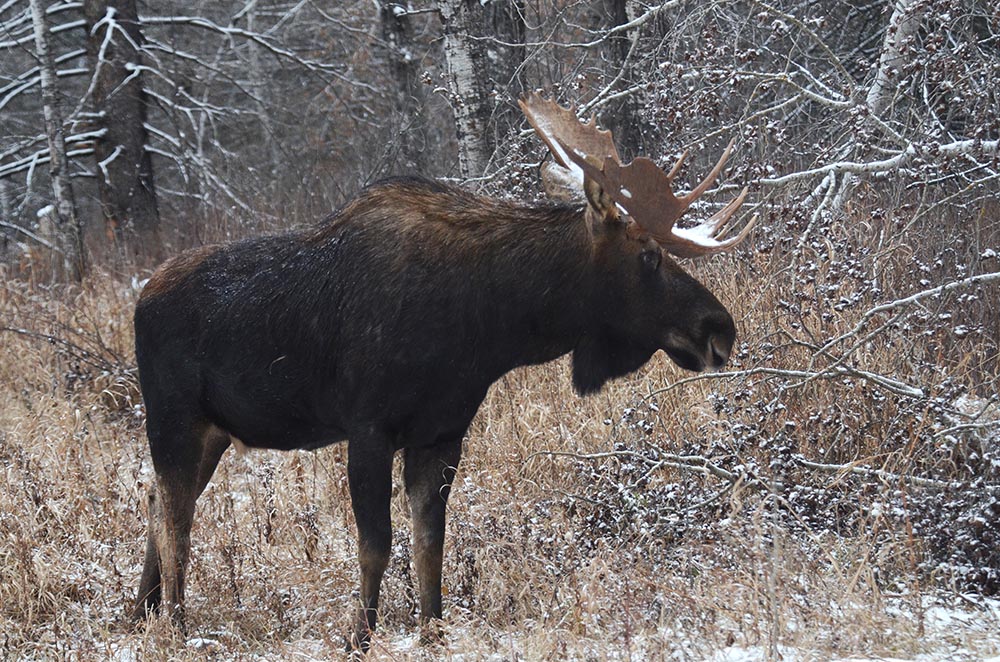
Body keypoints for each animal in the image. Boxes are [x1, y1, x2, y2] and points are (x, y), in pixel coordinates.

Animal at [131, 94, 755, 651]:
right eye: (648, 253)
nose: (719, 327)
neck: (491, 326)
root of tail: (140, 297)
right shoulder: (369, 427)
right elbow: (377, 544)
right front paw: (359, 636)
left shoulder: (442, 431)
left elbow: (430, 542)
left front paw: (432, 629)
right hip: (173, 418)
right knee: (176, 519)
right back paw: (178, 627)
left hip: (212, 432)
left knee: (159, 504)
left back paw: (141, 612)